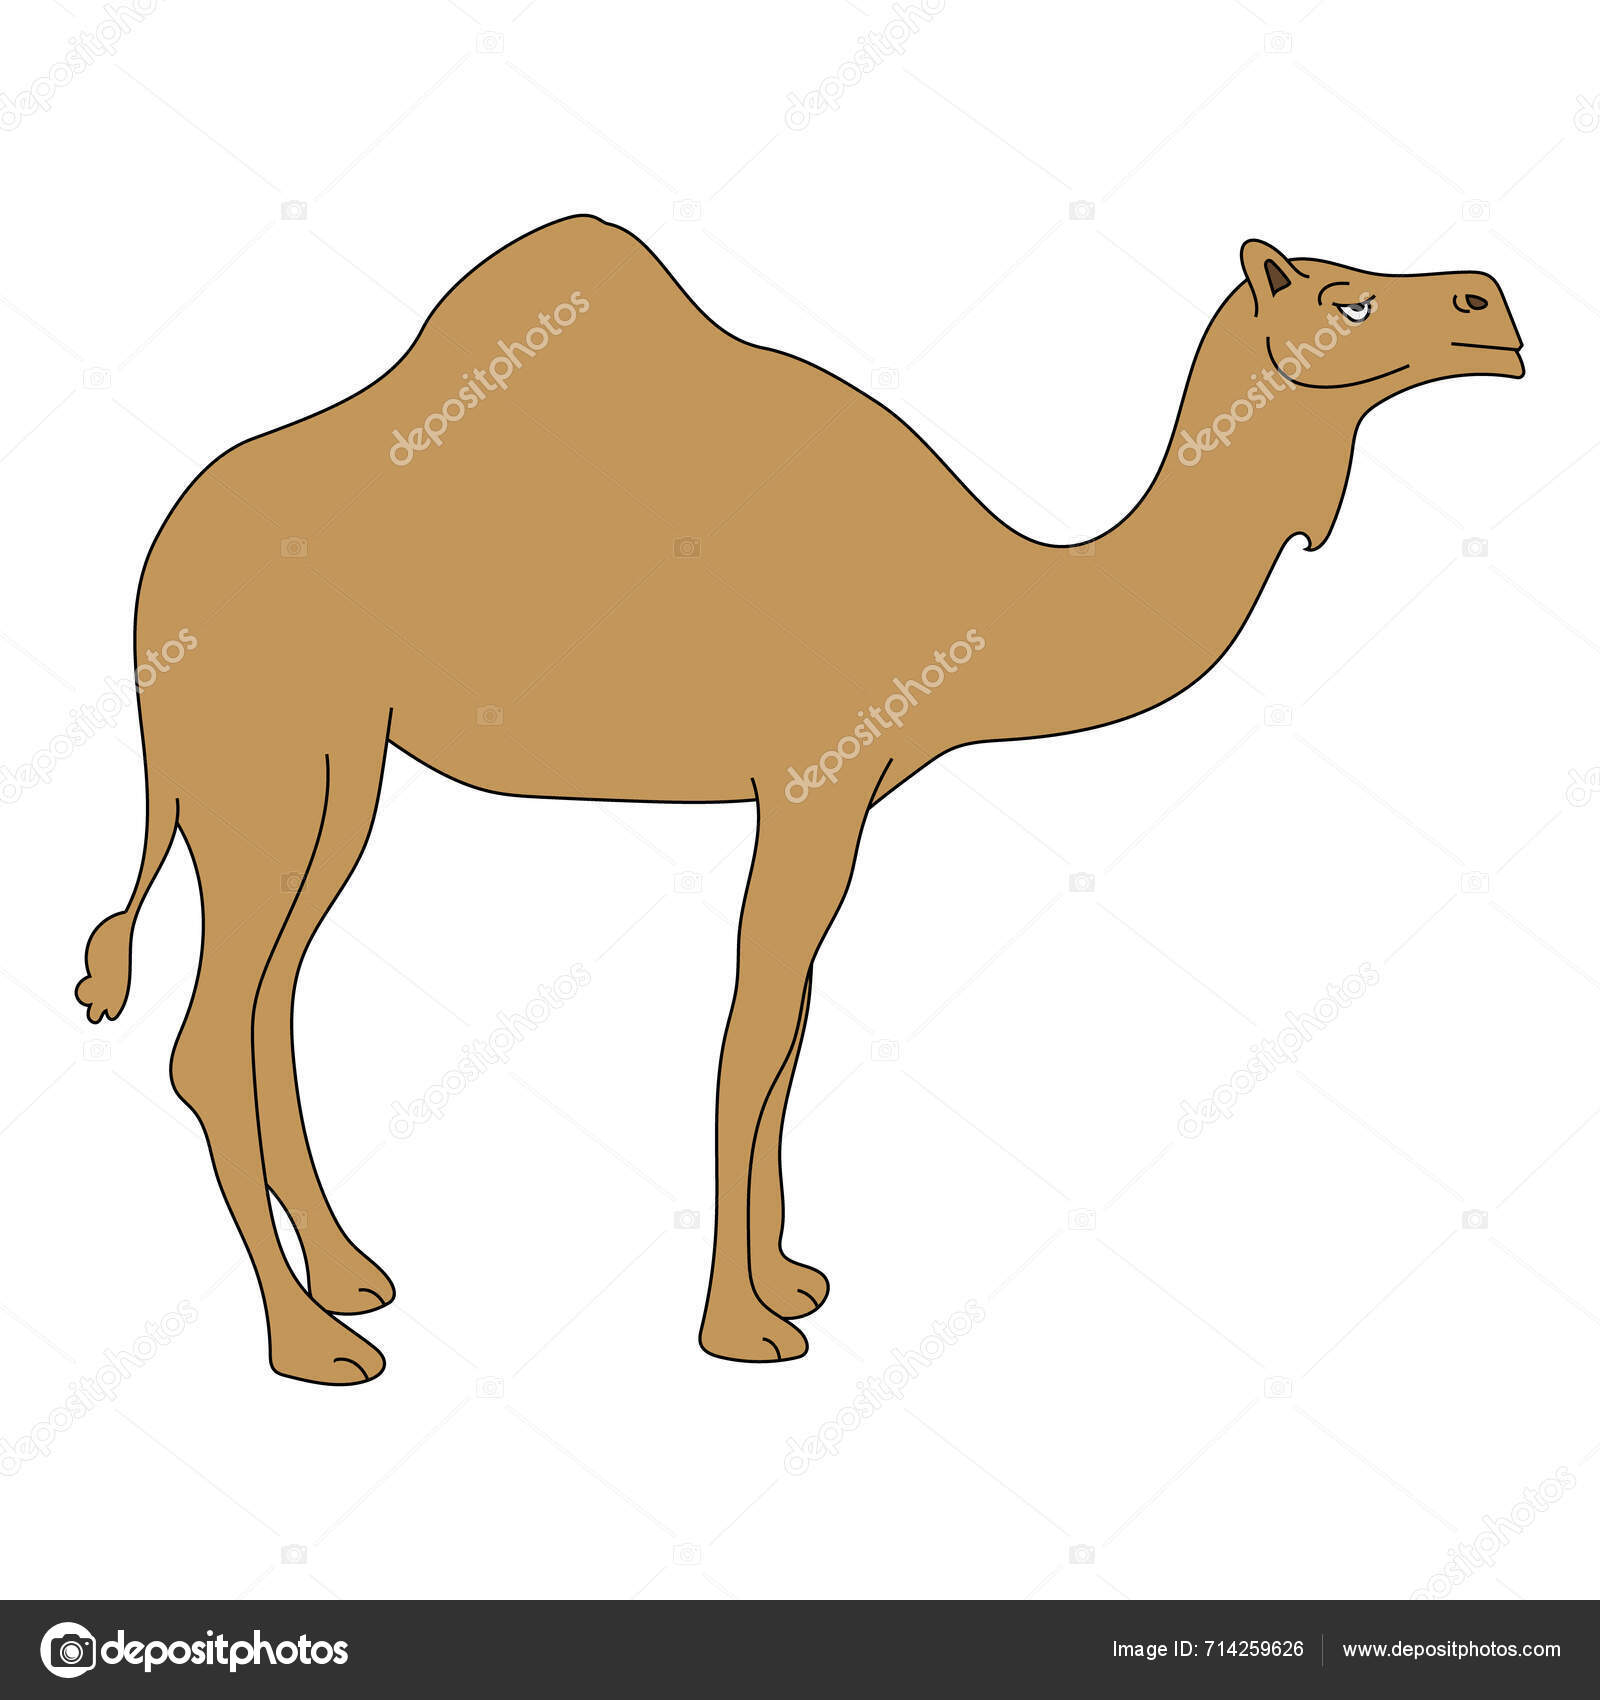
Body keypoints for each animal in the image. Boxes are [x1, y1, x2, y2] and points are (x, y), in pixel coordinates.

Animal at [75, 218, 1522, 1383]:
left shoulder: (845, 796)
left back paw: (356, 1275)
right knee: (212, 1032)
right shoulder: (813, 779)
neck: (991, 598)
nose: (1491, 308)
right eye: (1344, 301)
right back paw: (313, 1343)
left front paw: (791, 1281)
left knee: (270, 1002)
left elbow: (792, 1031)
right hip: (264, 747)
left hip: (334, 764)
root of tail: (156, 567)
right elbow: (752, 1030)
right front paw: (743, 1329)